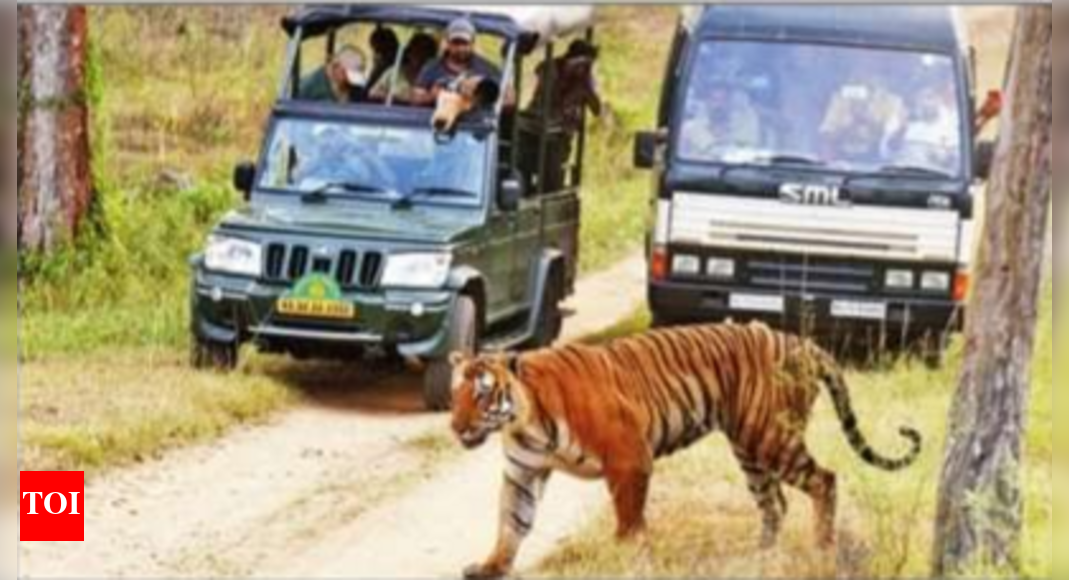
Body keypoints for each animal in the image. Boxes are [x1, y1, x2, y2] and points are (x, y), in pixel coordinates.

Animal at [448, 321, 922, 580]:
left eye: (483, 395)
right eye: (456, 395)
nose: (456, 427)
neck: (524, 421)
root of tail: (802, 342)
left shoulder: (629, 459)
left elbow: (629, 521)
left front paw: (625, 558)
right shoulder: (523, 472)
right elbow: (512, 522)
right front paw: (492, 566)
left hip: (772, 439)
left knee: (824, 480)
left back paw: (821, 548)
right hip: (750, 449)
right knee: (775, 502)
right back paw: (761, 555)